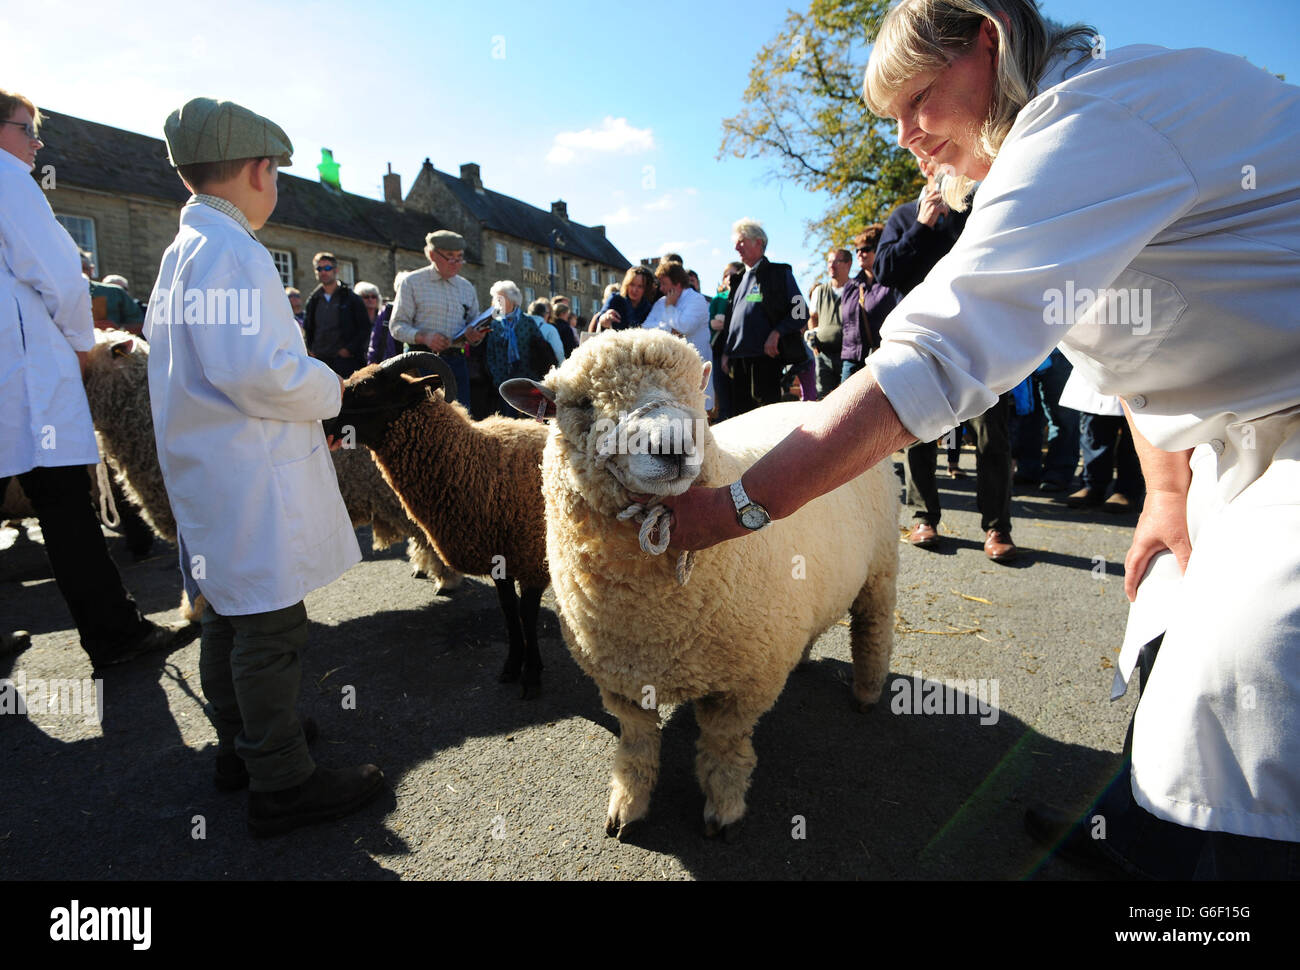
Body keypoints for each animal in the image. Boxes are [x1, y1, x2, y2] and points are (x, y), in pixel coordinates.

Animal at [326, 352, 550, 698]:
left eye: (366, 389)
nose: (323, 420)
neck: (480, 465)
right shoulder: (499, 561)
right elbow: (509, 611)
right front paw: (512, 667)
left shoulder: (532, 558)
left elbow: (526, 614)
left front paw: (532, 676)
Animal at [501, 329, 899, 839]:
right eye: (582, 404)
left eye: (695, 388)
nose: (673, 444)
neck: (657, 623)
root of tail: (812, 401)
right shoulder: (622, 680)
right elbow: (637, 741)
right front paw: (628, 805)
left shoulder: (744, 682)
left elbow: (723, 743)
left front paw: (723, 808)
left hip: (880, 568)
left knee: (873, 630)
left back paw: (867, 693)